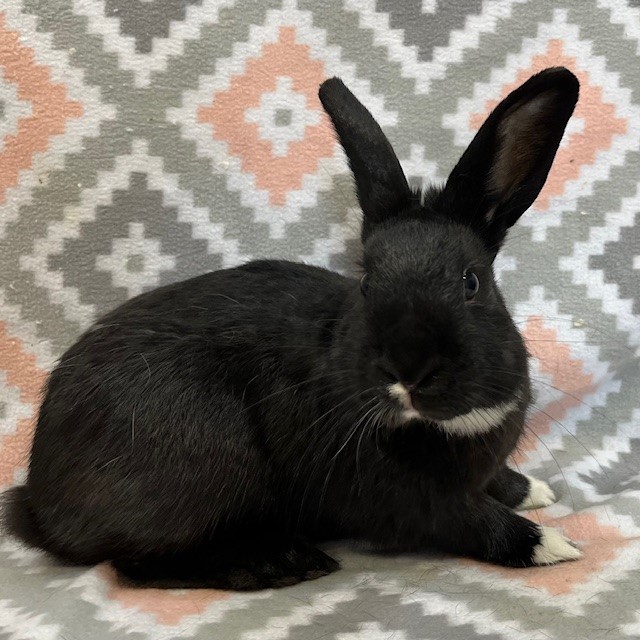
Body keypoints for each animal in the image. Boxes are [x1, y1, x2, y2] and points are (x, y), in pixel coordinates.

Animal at [2, 67, 581, 591]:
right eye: (366, 282)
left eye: (471, 282)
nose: (408, 371)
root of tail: (39, 508)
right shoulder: (412, 500)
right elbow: (475, 522)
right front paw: (554, 544)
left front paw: (536, 489)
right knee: (136, 564)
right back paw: (282, 563)